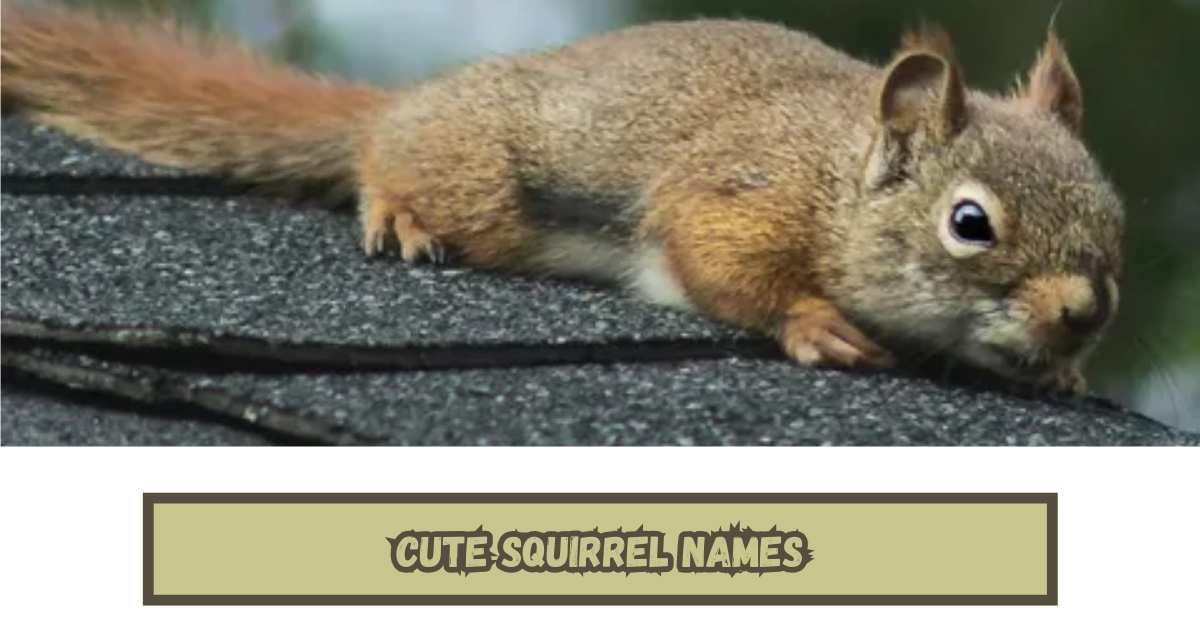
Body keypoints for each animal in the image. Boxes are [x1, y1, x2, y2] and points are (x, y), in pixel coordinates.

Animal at [1, 6, 1124, 395]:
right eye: (970, 223)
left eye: (1111, 219)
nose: (1083, 315)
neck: (835, 178)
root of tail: (413, 99)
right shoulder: (737, 194)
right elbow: (723, 264)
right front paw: (816, 322)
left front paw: (1059, 374)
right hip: (486, 181)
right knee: (386, 157)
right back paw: (400, 208)